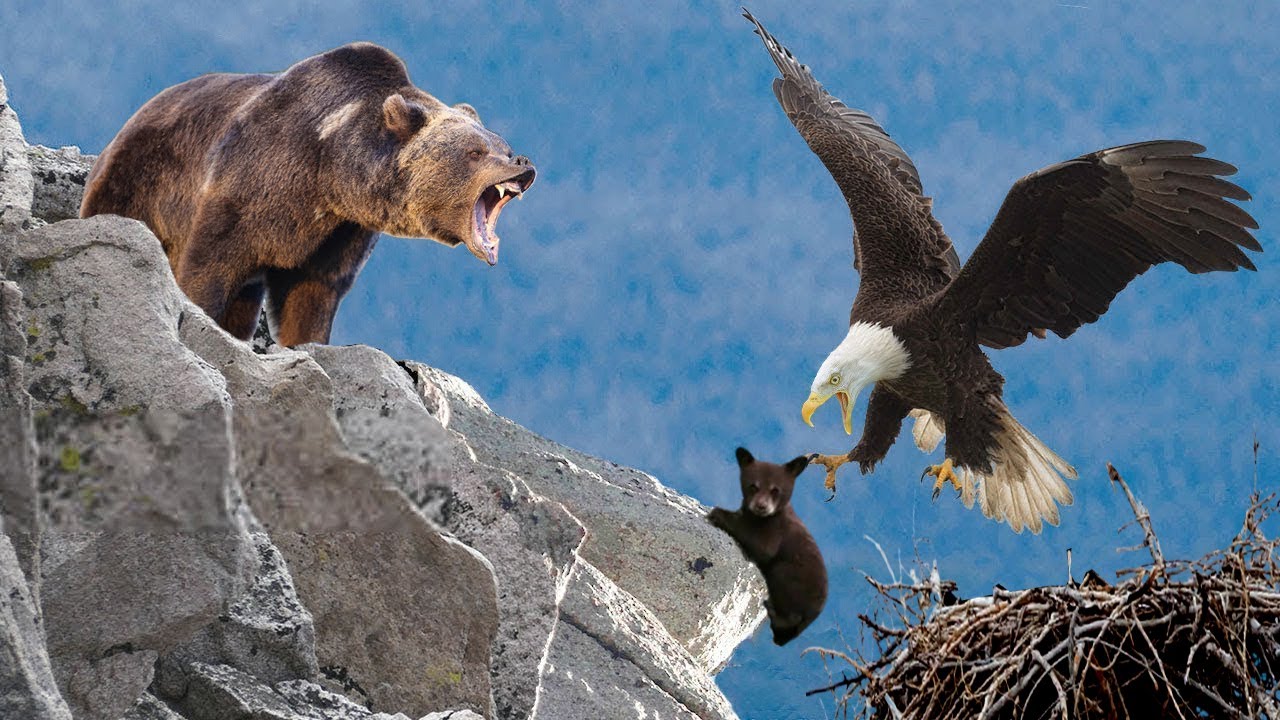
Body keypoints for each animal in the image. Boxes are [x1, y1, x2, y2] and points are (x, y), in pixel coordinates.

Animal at [80, 42, 536, 346]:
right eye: (475, 152)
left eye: (503, 145)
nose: (523, 163)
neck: (329, 169)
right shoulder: (246, 187)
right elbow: (208, 266)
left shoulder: (339, 232)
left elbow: (313, 295)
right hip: (137, 179)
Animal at [707, 447, 828, 646]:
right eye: (753, 486)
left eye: (775, 490)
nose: (761, 506)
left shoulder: (775, 531)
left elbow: (762, 548)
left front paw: (718, 514)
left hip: (790, 578)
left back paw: (771, 608)